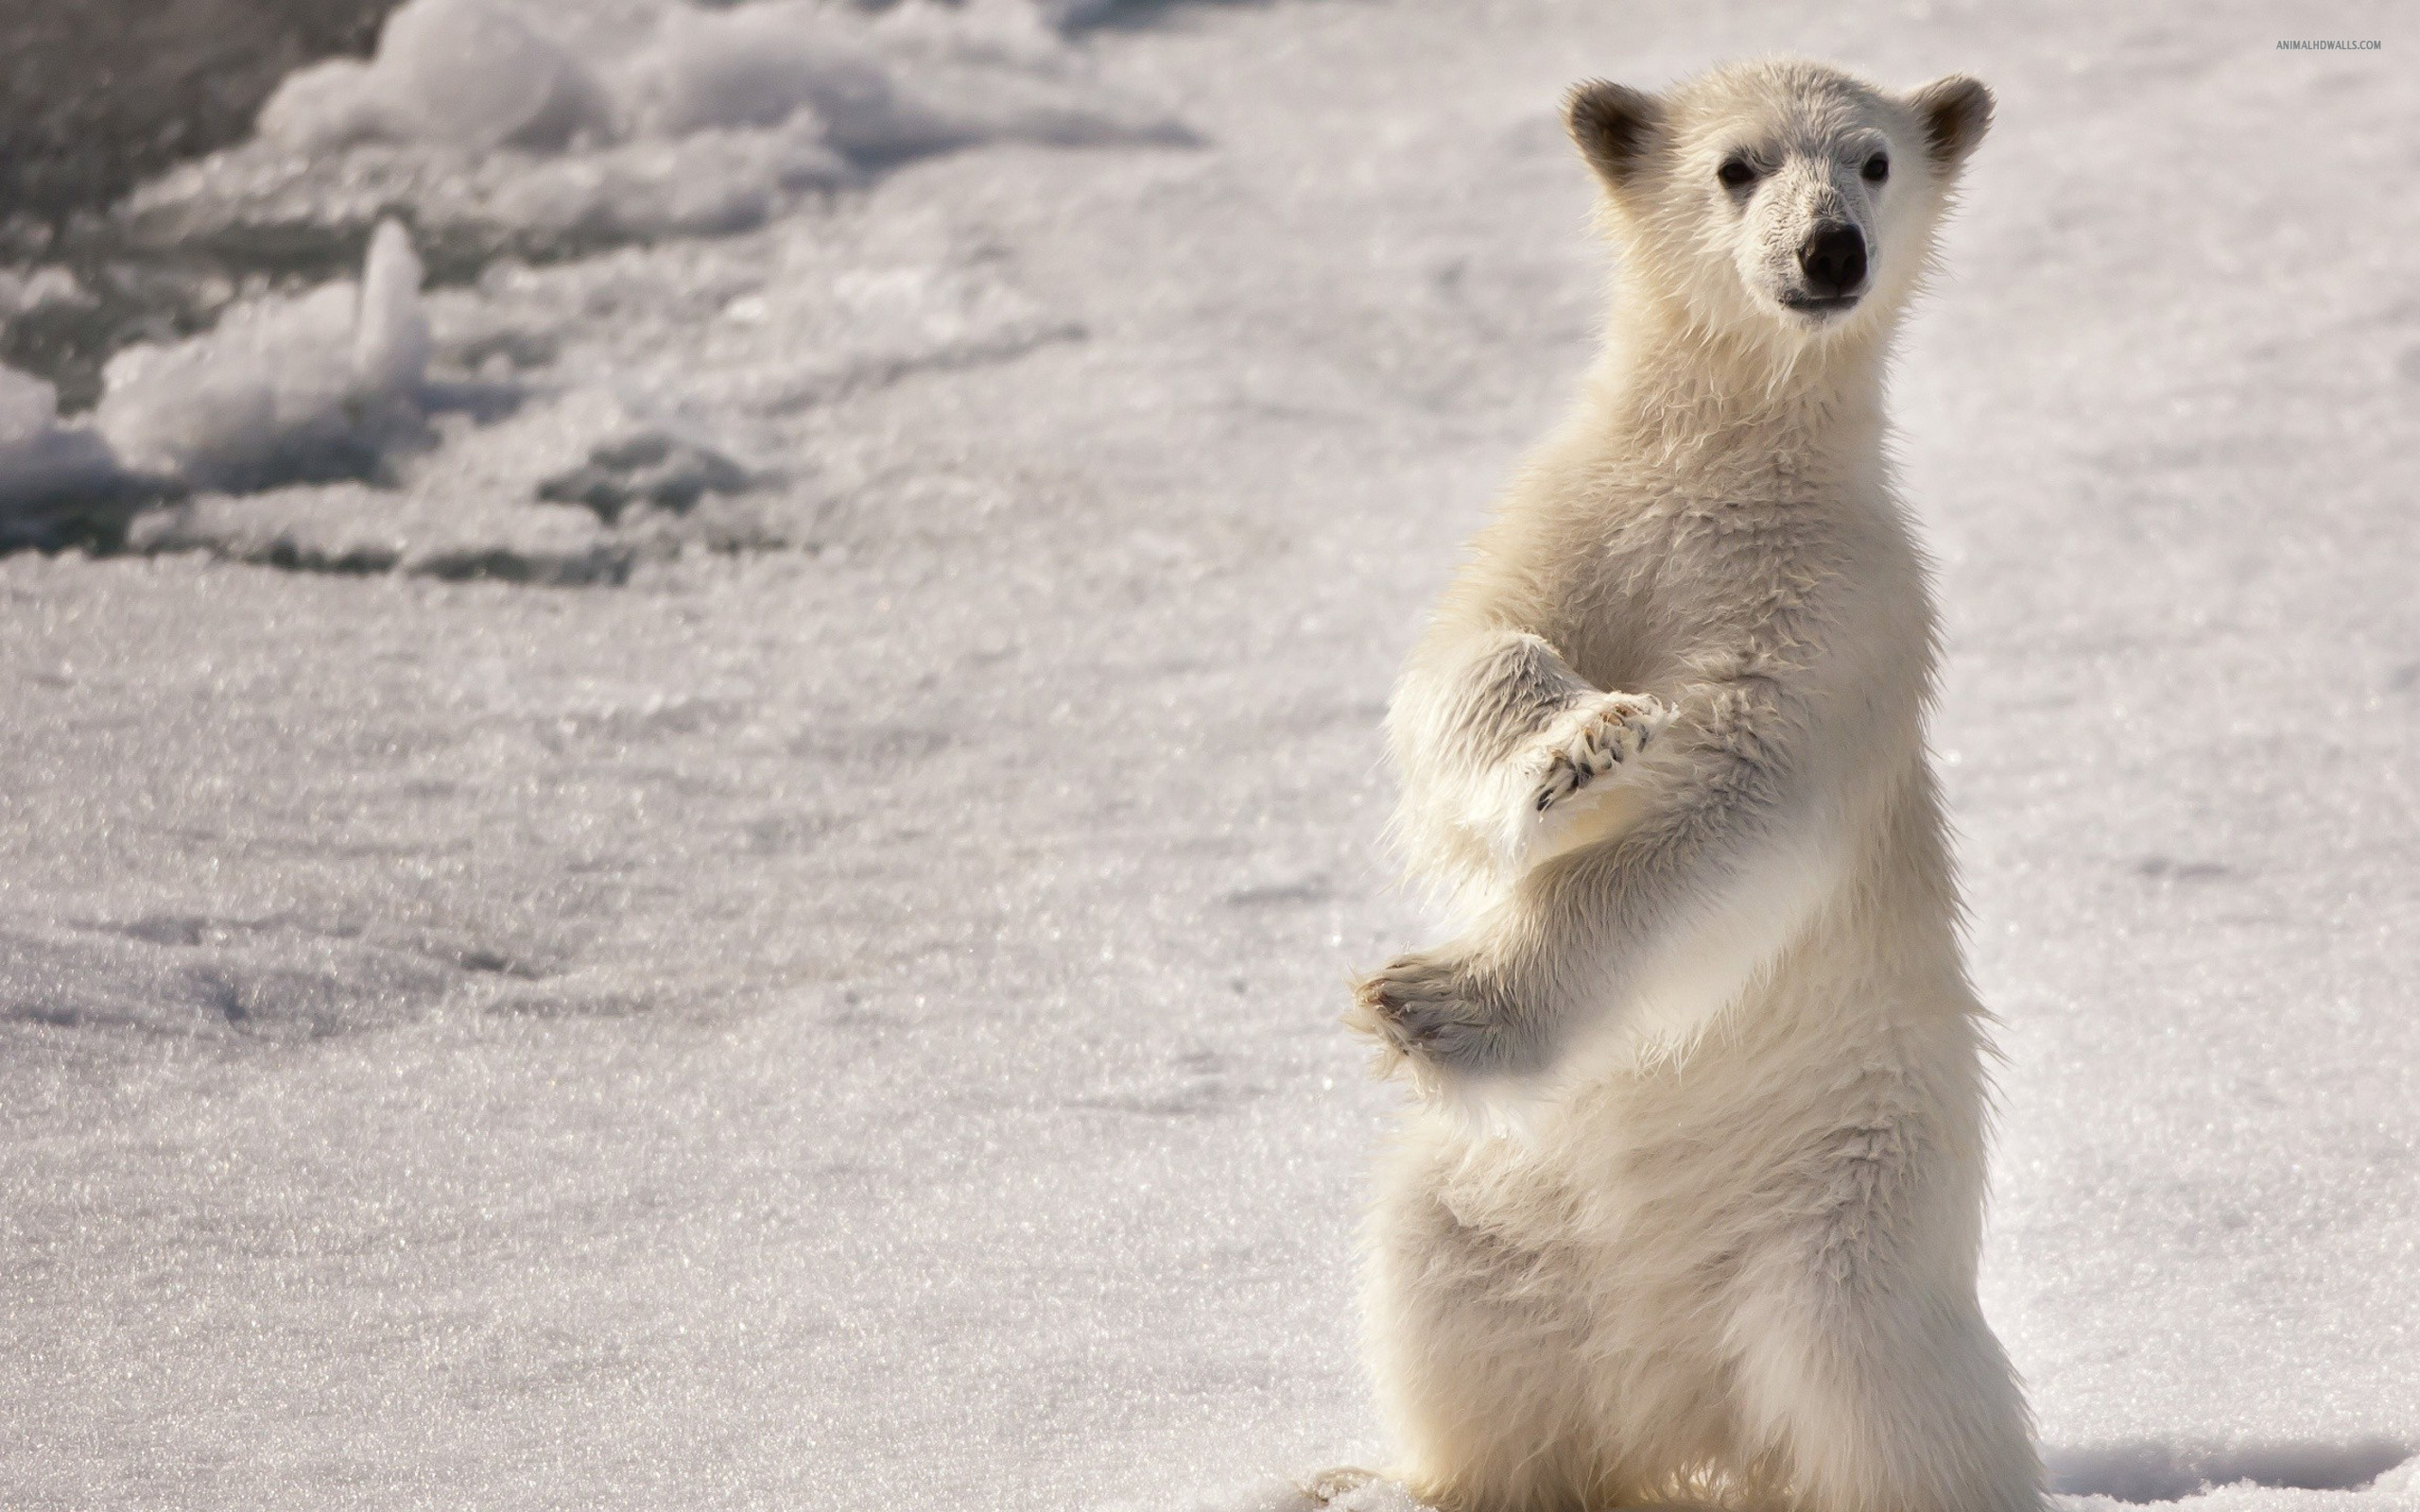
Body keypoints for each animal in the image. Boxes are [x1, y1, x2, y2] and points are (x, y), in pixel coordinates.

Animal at [1335, 58, 2042, 1512]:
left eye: (1874, 160)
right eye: (1735, 165)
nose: (1829, 250)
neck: (1725, 464)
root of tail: (1688, 1408)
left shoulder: (1838, 608)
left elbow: (1736, 800)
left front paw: (1438, 1002)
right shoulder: (1577, 518)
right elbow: (1467, 662)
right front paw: (1577, 748)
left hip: (1851, 1196)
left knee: (1881, 1389)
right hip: (1505, 1200)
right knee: (1444, 1293)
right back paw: (1406, 1479)